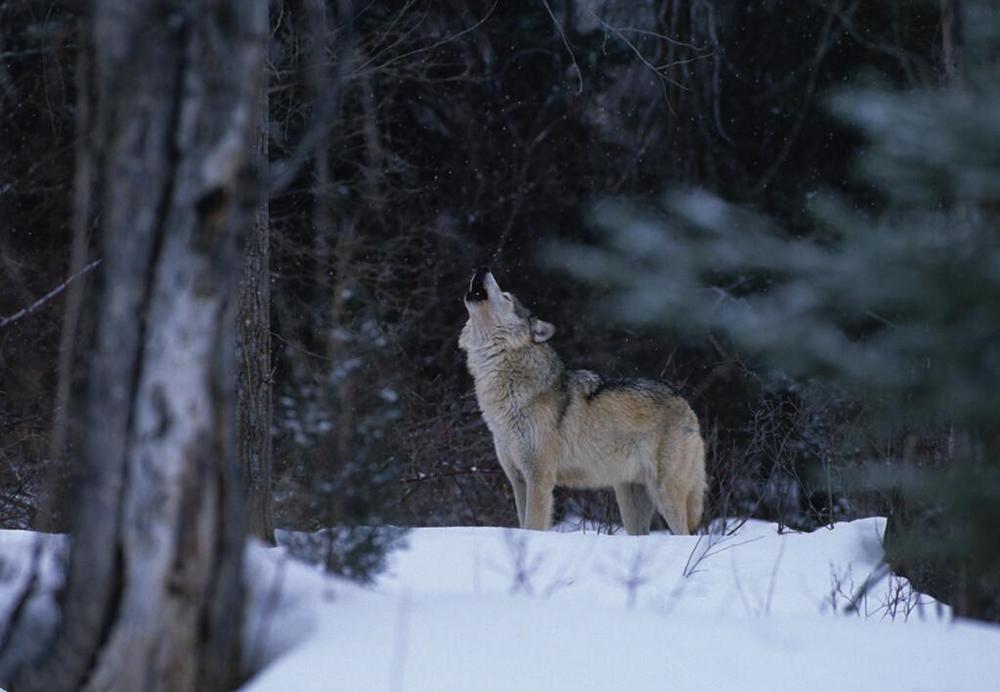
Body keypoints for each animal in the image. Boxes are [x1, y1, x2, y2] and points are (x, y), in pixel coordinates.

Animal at [459, 267, 706, 535]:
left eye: (506, 296)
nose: (482, 268)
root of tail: (685, 401)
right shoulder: (518, 479)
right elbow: (523, 524)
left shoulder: (539, 478)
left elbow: (533, 526)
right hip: (630, 496)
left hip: (665, 494)